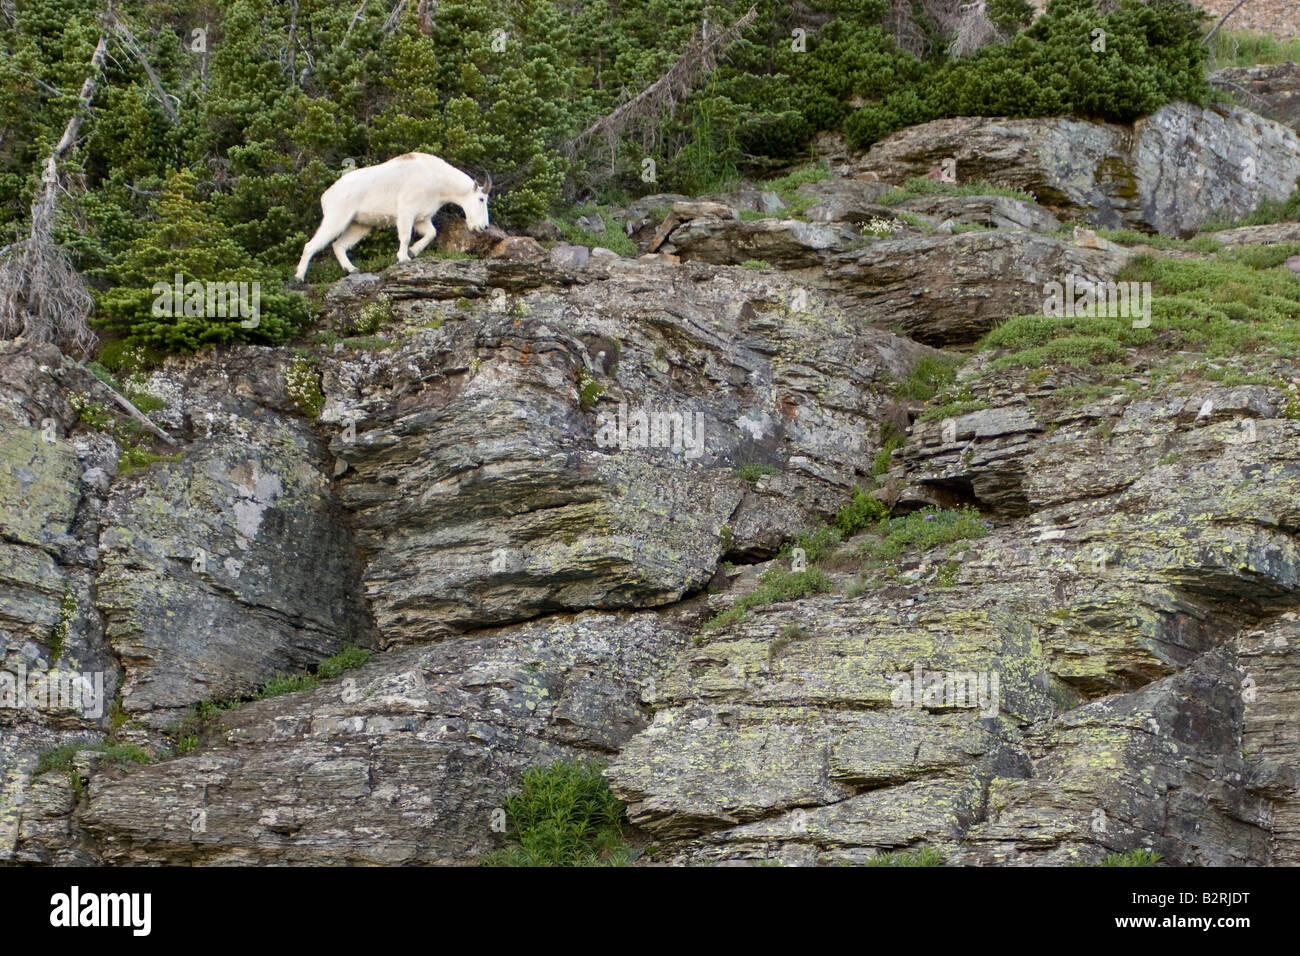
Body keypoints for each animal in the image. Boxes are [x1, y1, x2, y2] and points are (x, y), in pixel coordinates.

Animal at [295, 153, 491, 281]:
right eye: (481, 199)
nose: (484, 227)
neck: (436, 179)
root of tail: (326, 196)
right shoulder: (406, 211)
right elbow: (405, 236)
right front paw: (404, 257)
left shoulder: (421, 218)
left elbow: (431, 233)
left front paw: (413, 251)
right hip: (337, 217)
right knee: (311, 245)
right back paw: (299, 277)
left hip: (359, 225)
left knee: (339, 245)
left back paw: (351, 269)